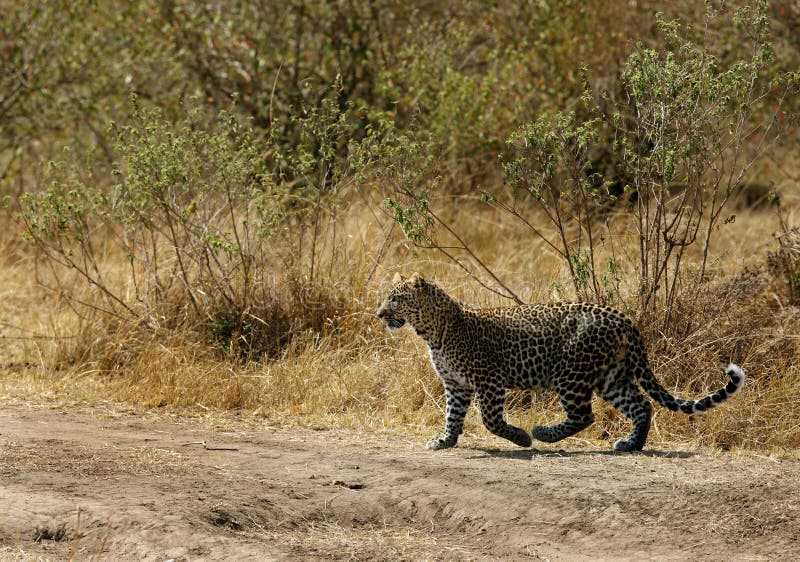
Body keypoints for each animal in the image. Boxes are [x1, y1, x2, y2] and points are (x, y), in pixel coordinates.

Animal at [376, 272, 746, 452]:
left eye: (395, 299)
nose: (379, 314)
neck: (432, 331)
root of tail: (622, 317)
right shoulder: (456, 385)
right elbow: (453, 417)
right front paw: (445, 442)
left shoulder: (489, 378)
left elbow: (490, 420)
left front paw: (521, 438)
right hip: (610, 375)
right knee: (641, 405)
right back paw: (630, 445)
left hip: (571, 371)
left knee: (584, 415)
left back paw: (544, 434)